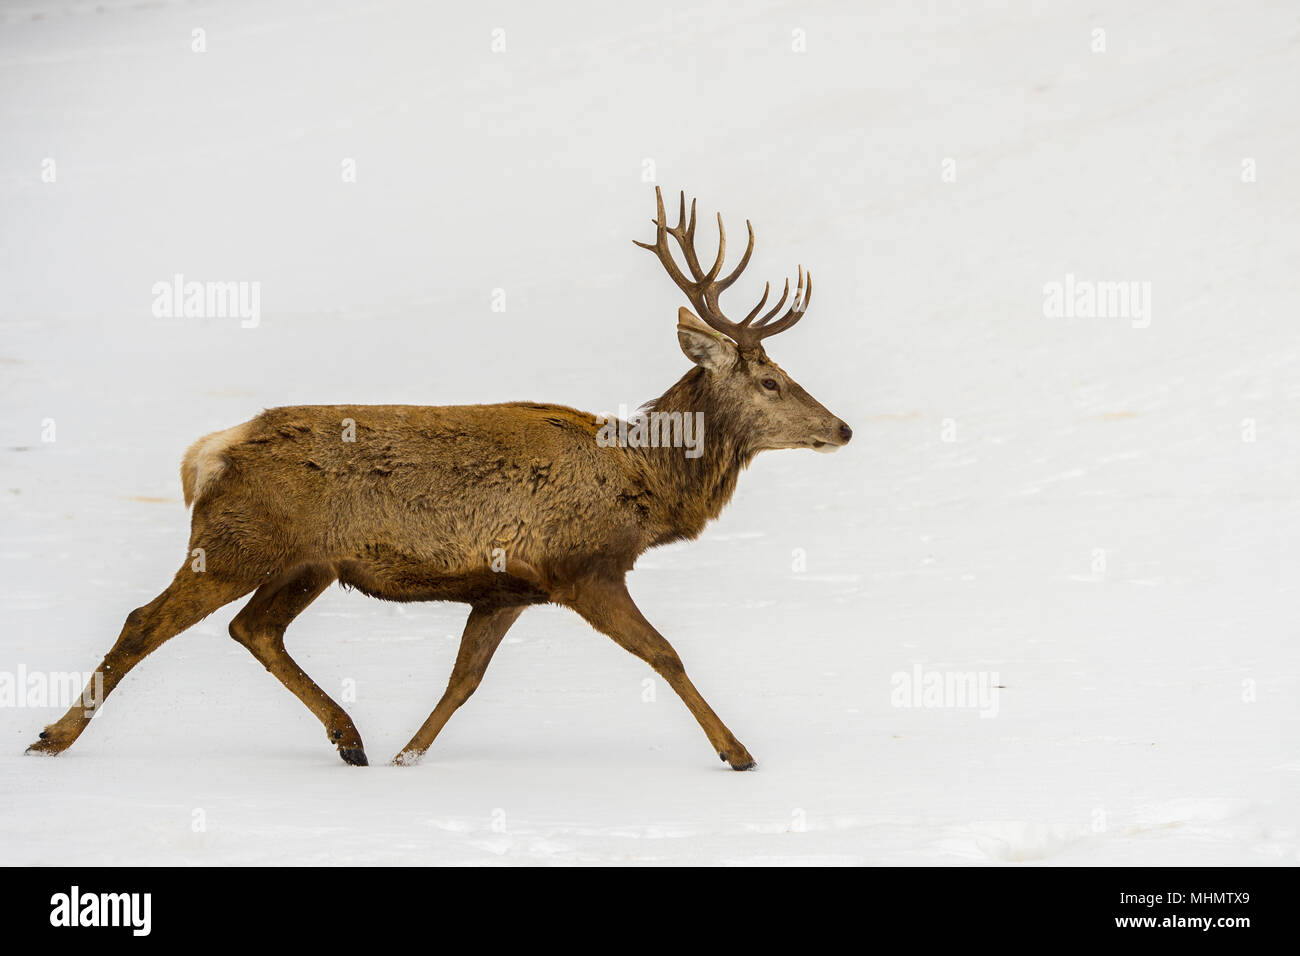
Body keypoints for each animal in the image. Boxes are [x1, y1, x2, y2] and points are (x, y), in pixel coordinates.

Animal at [27, 188, 852, 770]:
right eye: (772, 381)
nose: (842, 428)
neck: (644, 486)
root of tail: (209, 451)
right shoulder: (581, 565)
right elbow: (664, 654)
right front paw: (737, 751)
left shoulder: (506, 589)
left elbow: (463, 681)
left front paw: (408, 752)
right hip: (236, 540)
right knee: (145, 621)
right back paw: (53, 736)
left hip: (306, 562)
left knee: (253, 628)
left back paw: (350, 737)